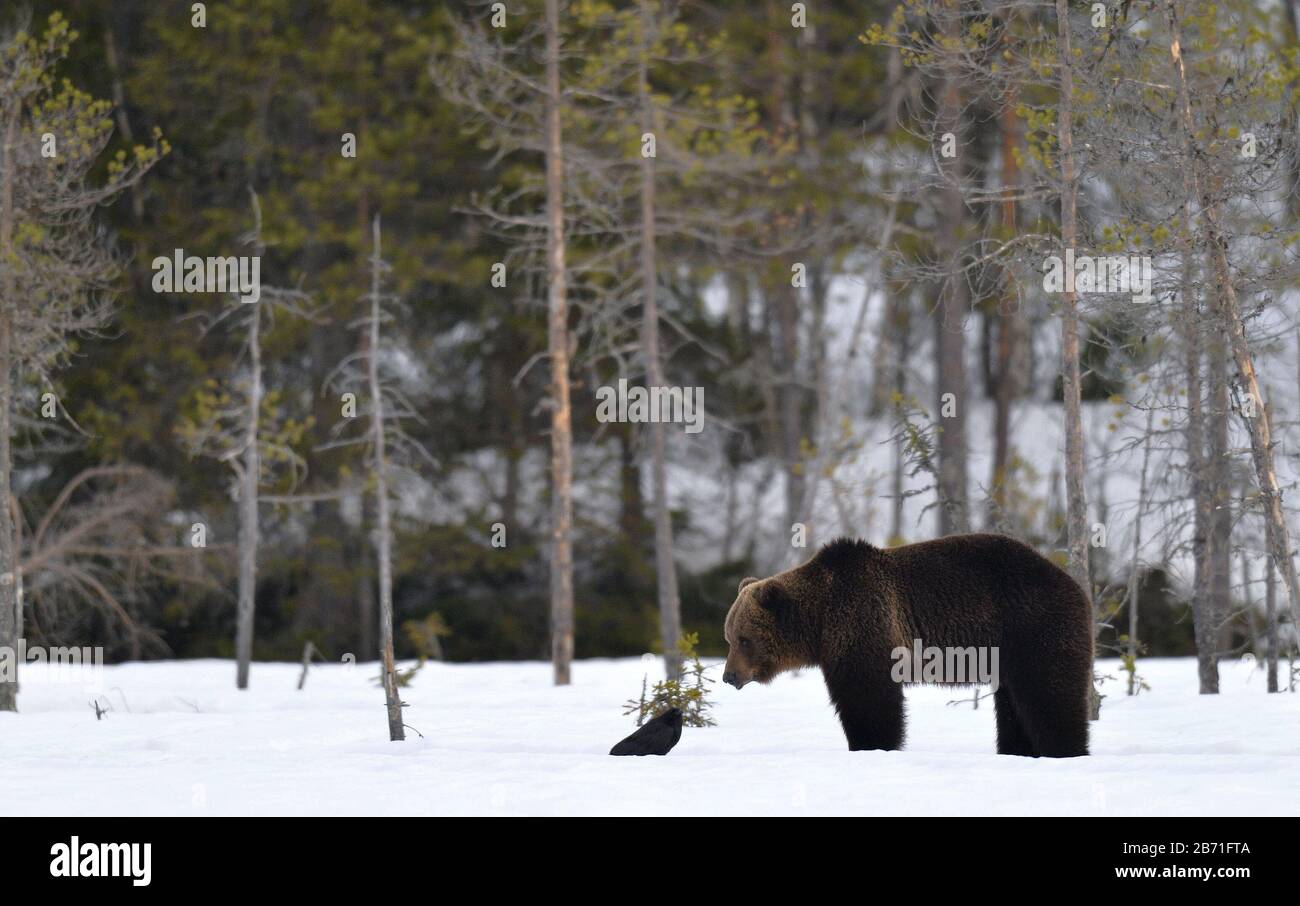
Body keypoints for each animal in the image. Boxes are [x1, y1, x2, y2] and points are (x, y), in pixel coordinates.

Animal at [722, 533, 1091, 757]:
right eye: (730, 638)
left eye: (744, 639)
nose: (728, 676)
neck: (820, 621)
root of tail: (1075, 585)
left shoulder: (864, 623)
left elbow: (869, 700)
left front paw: (872, 745)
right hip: (1008, 655)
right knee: (1014, 705)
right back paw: (1018, 750)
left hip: (1032, 628)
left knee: (1049, 695)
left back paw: (1066, 750)